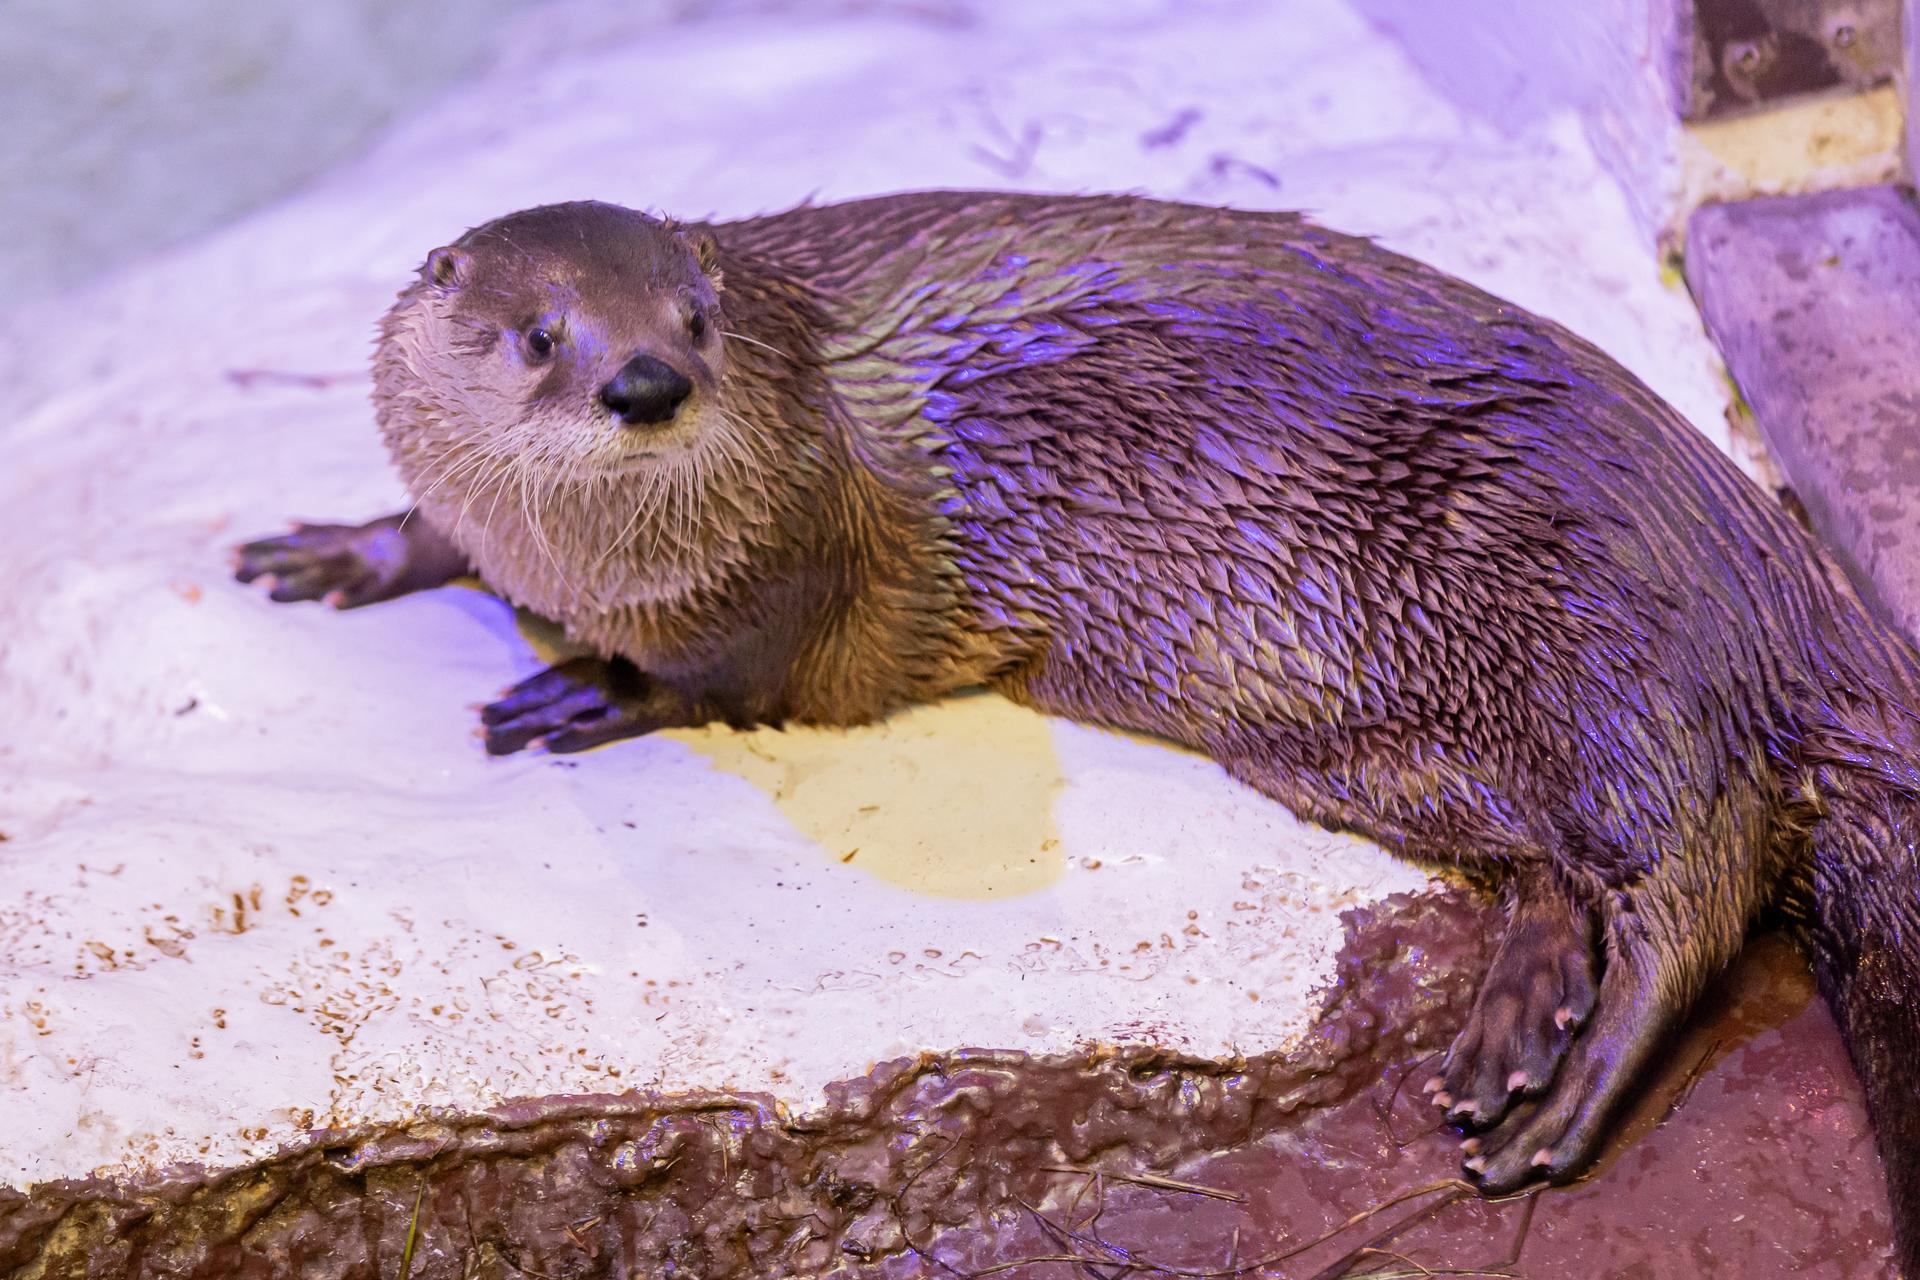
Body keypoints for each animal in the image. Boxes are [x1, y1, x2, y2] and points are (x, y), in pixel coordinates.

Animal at [236, 192, 1920, 1268]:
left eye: (696, 321)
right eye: (539, 334)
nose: (645, 383)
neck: (592, 564)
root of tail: (1793, 600)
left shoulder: (792, 580)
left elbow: (721, 680)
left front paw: (590, 689)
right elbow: (432, 529)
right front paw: (338, 550)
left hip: (1612, 653)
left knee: (1687, 891)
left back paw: (1567, 1095)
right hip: (1371, 746)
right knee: (1546, 867)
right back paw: (1512, 1023)